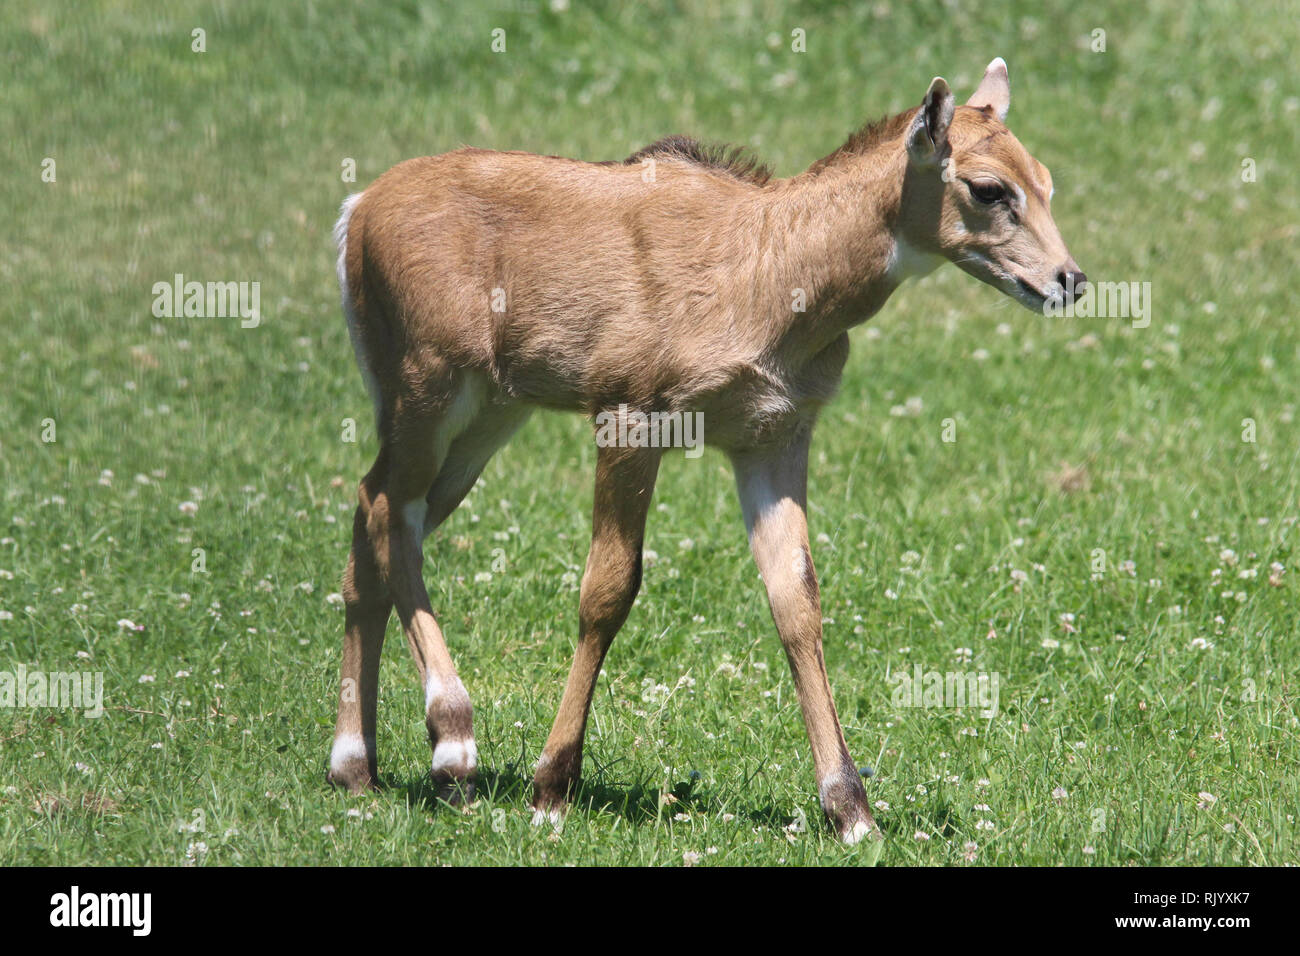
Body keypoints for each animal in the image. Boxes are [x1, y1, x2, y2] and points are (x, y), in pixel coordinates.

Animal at [327, 58, 1086, 843]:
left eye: (1047, 180)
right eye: (990, 187)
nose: (1071, 280)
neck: (774, 286)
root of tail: (354, 215)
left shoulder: (774, 433)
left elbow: (796, 597)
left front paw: (851, 810)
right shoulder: (629, 410)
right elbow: (608, 588)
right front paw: (551, 786)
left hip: (489, 410)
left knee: (376, 511)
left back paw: (357, 764)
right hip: (427, 378)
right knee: (385, 508)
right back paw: (452, 745)